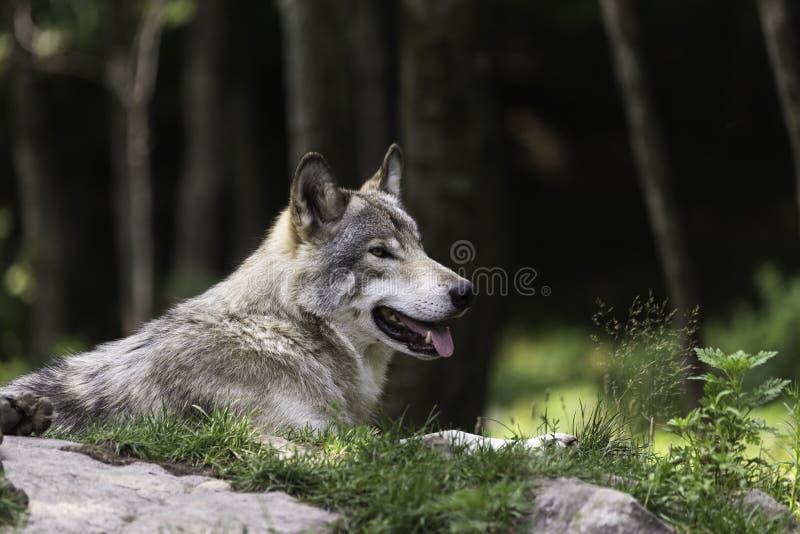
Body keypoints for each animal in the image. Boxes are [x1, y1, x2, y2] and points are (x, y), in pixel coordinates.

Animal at [1, 144, 574, 450]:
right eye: (380, 252)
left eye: (418, 244)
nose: (466, 292)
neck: (287, 333)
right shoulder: (294, 440)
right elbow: (436, 441)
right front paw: (536, 448)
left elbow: (452, 434)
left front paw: (540, 443)